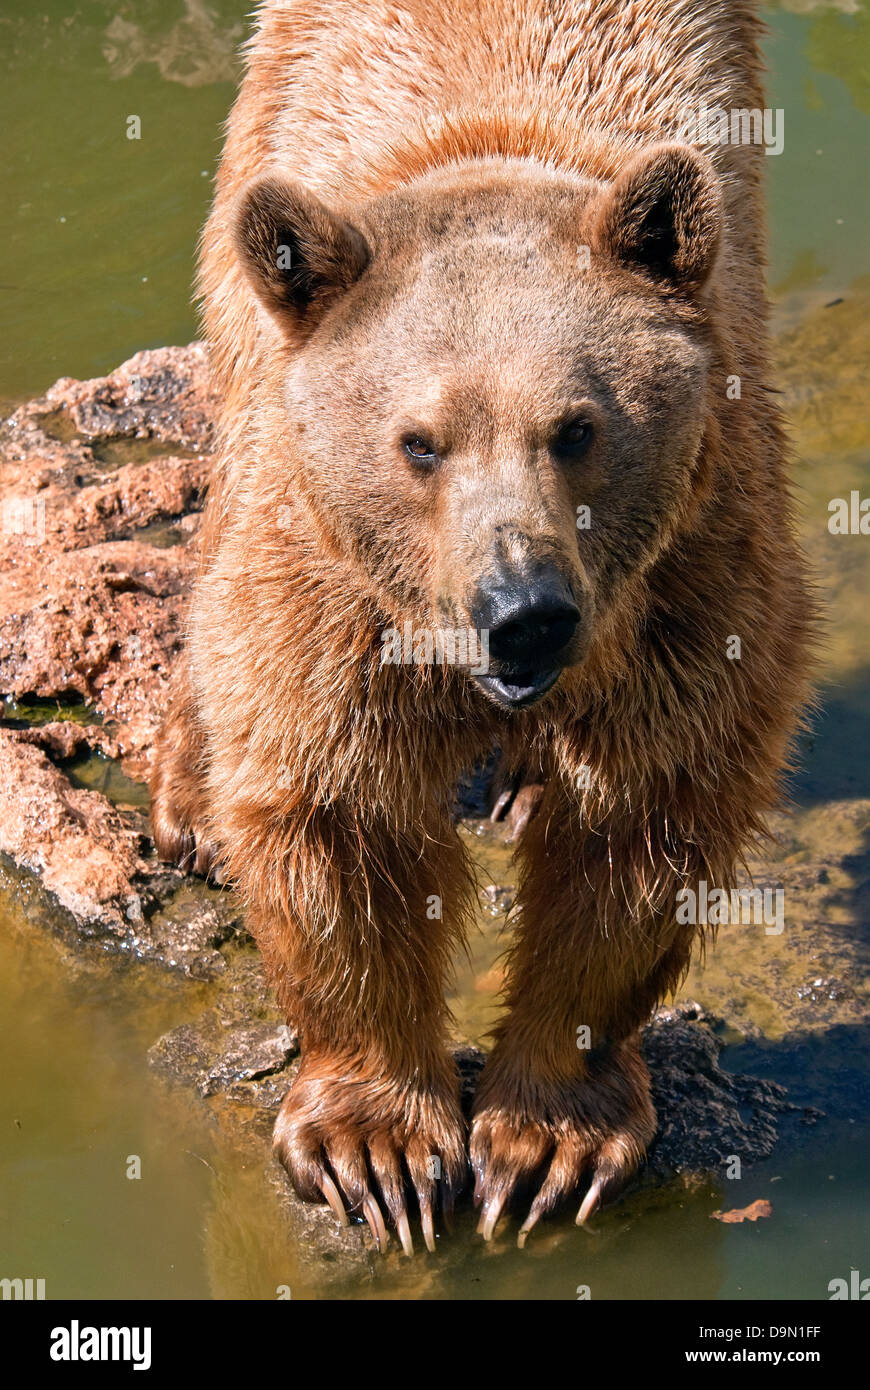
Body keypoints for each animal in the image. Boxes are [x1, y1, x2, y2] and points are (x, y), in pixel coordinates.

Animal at [150, 0, 813, 1254]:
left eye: (577, 427)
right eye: (420, 441)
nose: (524, 617)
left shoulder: (685, 576)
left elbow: (640, 822)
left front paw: (544, 1143)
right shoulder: (331, 587)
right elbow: (337, 814)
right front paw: (376, 1149)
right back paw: (188, 795)